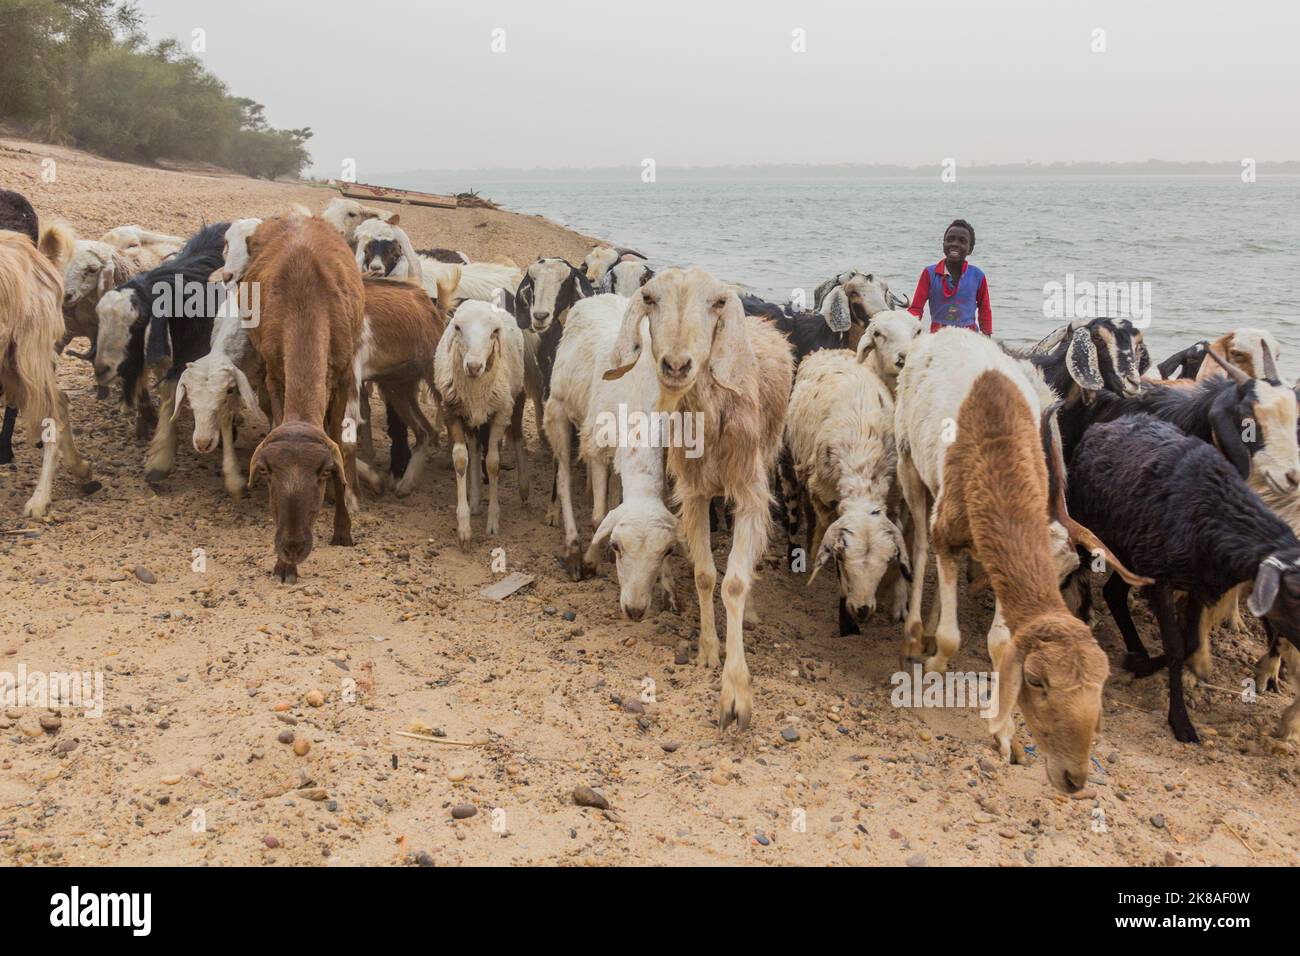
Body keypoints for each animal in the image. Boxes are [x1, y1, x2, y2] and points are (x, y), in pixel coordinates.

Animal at [242, 214, 364, 583]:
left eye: (323, 472)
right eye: (266, 472)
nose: (292, 547)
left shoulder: (344, 371)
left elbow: (340, 441)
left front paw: (343, 530)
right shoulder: (274, 370)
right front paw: (284, 567)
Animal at [433, 299, 528, 548]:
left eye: (494, 332)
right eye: (457, 328)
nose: (474, 366)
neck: (475, 388)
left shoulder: (500, 413)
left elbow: (494, 463)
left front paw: (493, 521)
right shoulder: (451, 411)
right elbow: (461, 460)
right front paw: (464, 528)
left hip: (516, 399)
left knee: (517, 436)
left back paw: (524, 489)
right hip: (471, 417)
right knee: (475, 449)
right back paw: (475, 500)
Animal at [602, 267, 794, 732]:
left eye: (717, 303)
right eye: (650, 298)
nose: (676, 364)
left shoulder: (750, 493)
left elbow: (735, 582)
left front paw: (735, 694)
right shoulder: (694, 494)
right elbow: (706, 575)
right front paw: (709, 650)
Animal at [785, 348, 911, 636]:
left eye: (887, 561)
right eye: (843, 558)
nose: (862, 610)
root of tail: (829, 350)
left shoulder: (894, 503)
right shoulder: (824, 500)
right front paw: (847, 621)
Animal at [1067, 414, 1300, 743]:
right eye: (1294, 592)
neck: (1219, 513)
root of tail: (1105, 424)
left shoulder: (1197, 584)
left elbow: (1189, 643)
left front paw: (1147, 664)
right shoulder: (1161, 578)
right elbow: (1177, 647)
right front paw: (1181, 721)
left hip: (1129, 554)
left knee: (1113, 593)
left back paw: (1138, 653)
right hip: (1091, 533)